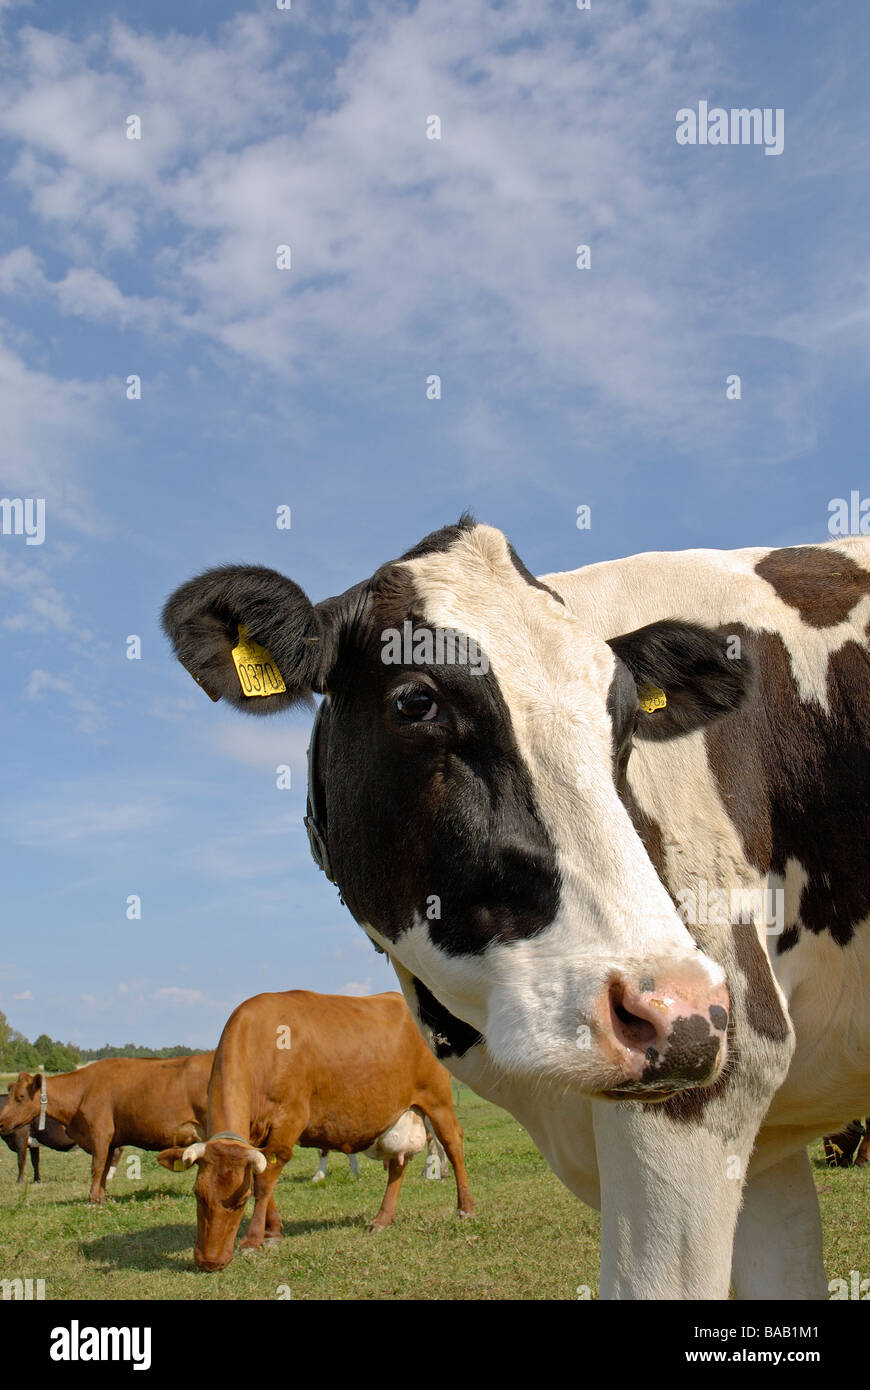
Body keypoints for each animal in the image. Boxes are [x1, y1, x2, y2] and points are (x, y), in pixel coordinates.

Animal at [0, 1053, 213, 1203]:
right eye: (9, 1096)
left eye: (20, 1097)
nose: (1, 1122)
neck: (82, 1091)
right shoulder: (110, 1141)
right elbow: (103, 1169)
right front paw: (101, 1197)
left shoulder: (100, 1133)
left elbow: (96, 1167)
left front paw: (92, 1199)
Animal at [156, 991, 473, 1271]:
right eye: (198, 1194)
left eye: (240, 1201)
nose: (209, 1261)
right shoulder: (256, 1137)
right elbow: (262, 1179)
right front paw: (273, 1232)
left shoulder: (288, 1121)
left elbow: (264, 1182)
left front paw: (253, 1240)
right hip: (396, 1113)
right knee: (397, 1164)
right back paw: (382, 1219)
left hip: (438, 1099)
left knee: (453, 1144)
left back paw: (465, 1208)